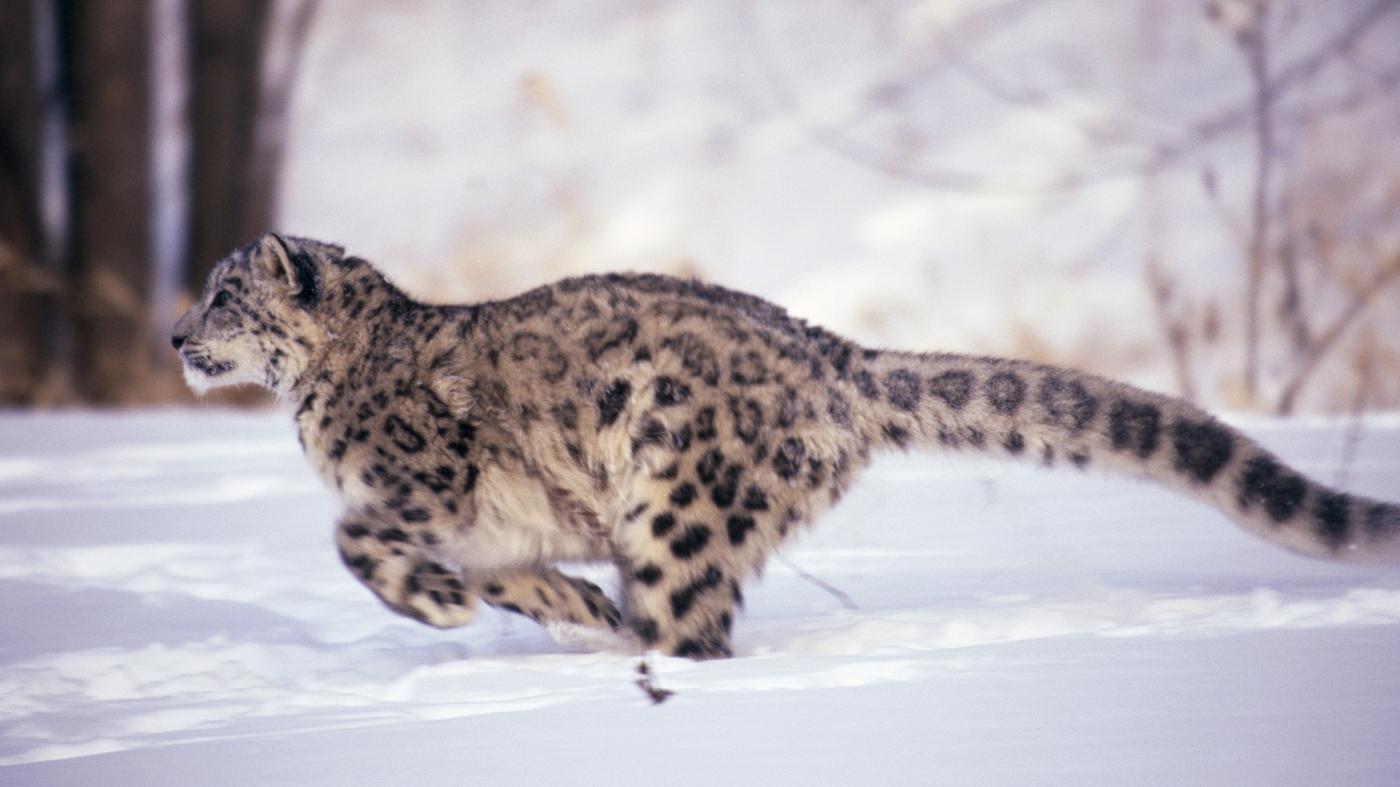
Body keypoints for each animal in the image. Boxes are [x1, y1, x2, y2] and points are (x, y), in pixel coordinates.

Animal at [172, 233, 1400, 659]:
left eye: (224, 291)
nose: (176, 334)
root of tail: (830, 351)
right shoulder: (501, 531)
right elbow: (524, 576)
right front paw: (573, 612)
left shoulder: (422, 481)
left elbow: (354, 536)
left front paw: (432, 601)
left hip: (677, 504)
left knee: (697, 625)